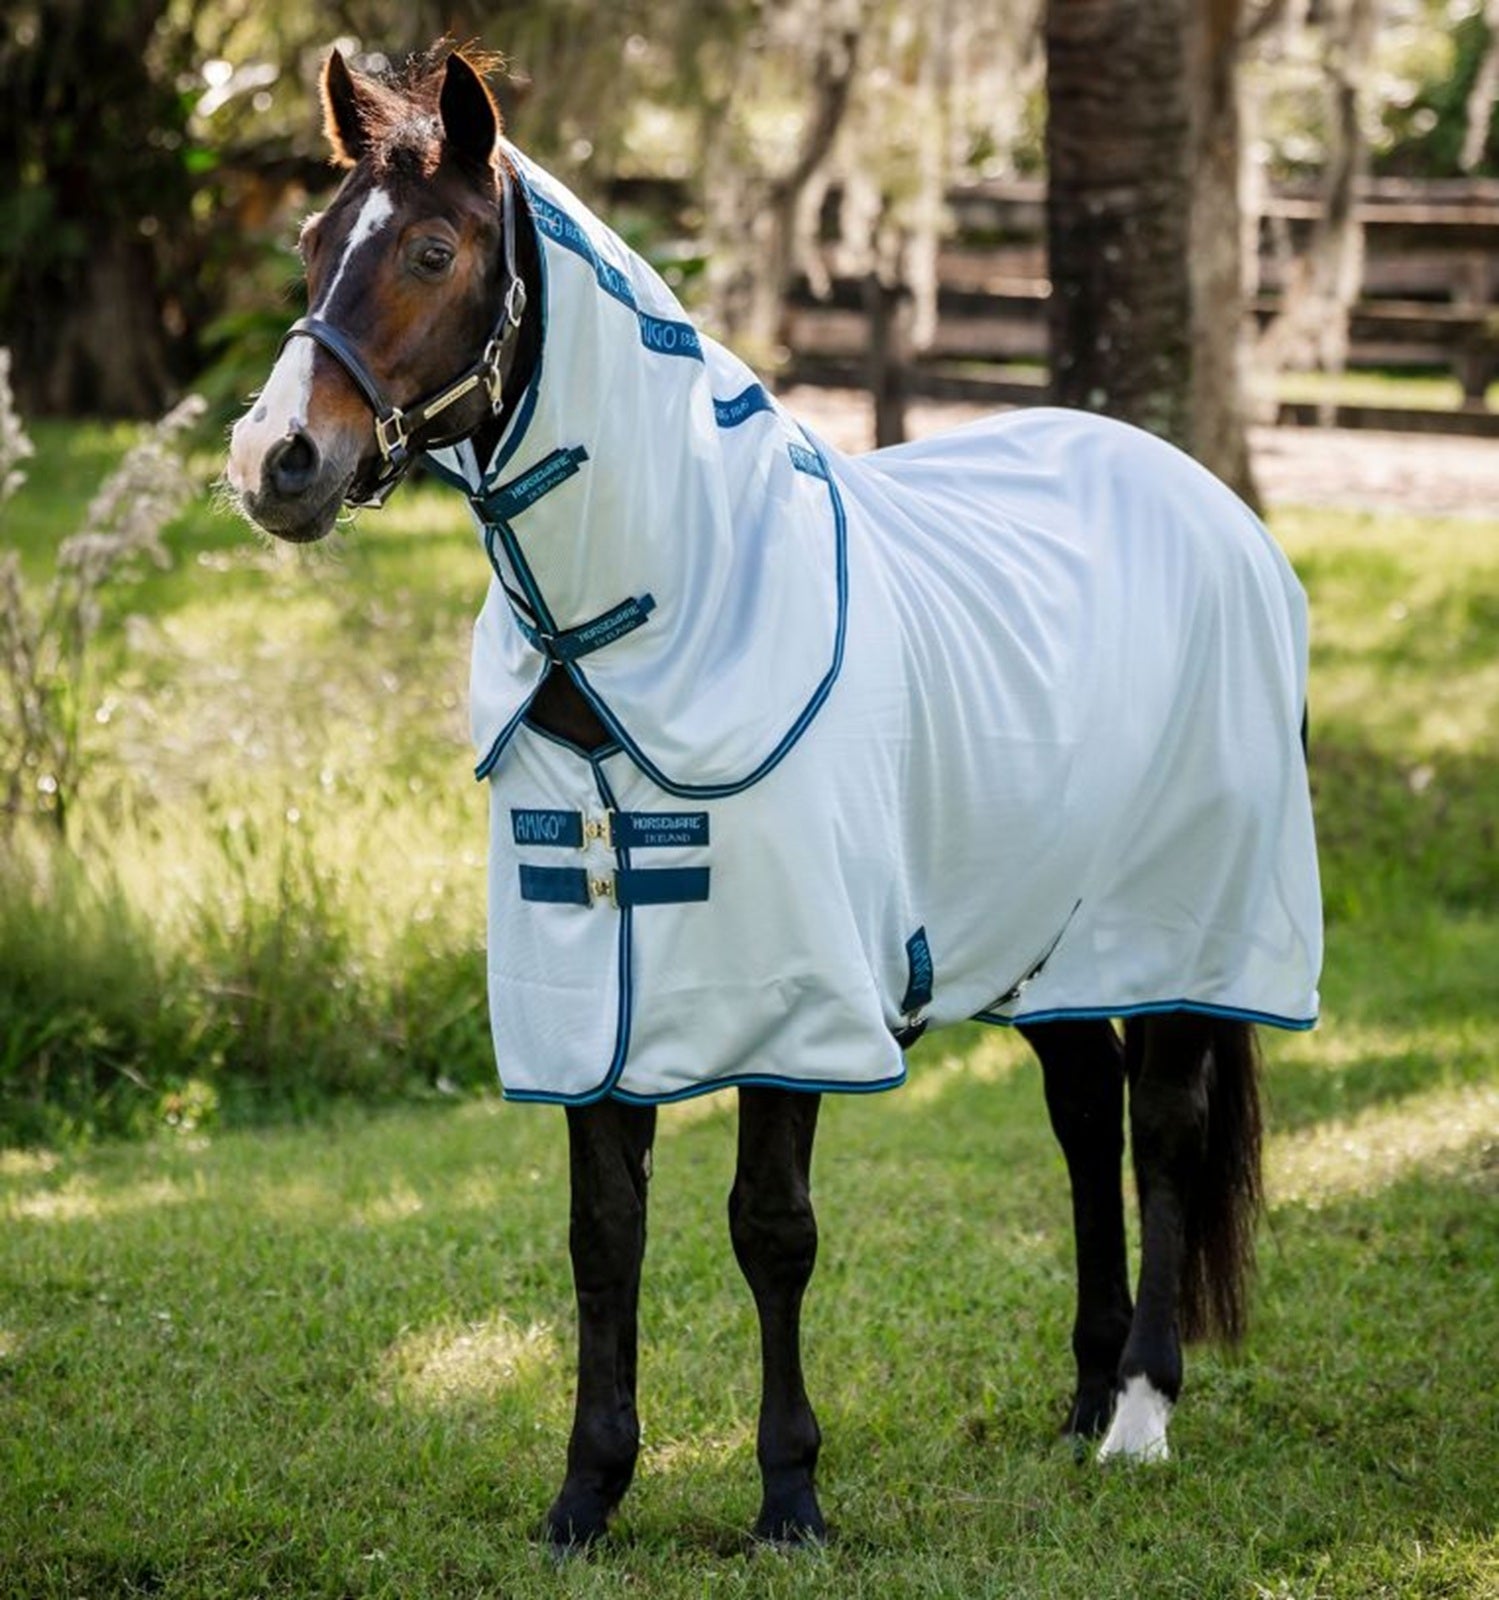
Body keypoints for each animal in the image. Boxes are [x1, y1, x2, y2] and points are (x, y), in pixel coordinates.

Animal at [226, 46, 1322, 1551]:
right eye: (311, 241)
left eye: (434, 250)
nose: (274, 460)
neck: (647, 611)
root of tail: (1206, 502)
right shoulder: (590, 993)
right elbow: (602, 1235)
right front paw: (585, 1494)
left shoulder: (789, 997)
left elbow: (770, 1228)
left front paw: (789, 1494)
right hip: (1045, 927)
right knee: (1080, 1114)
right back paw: (1087, 1393)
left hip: (1179, 924)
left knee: (1155, 1131)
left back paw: (1140, 1416)